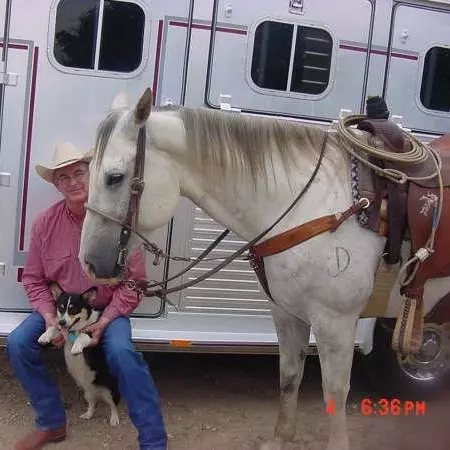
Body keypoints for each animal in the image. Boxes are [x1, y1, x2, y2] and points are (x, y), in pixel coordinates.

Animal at [38, 284, 121, 428]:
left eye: (73, 309)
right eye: (60, 308)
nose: (62, 322)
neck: (73, 330)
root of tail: (99, 393)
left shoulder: (91, 334)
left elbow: (83, 335)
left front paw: (76, 347)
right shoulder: (62, 331)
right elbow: (53, 328)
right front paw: (44, 336)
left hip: (110, 391)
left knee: (113, 405)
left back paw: (114, 419)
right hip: (87, 392)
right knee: (93, 404)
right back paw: (87, 415)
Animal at [79, 89, 448, 450]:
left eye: (115, 177)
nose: (89, 262)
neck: (310, 205)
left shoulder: (336, 323)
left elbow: (334, 395)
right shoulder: (287, 313)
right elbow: (288, 377)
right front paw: (280, 439)